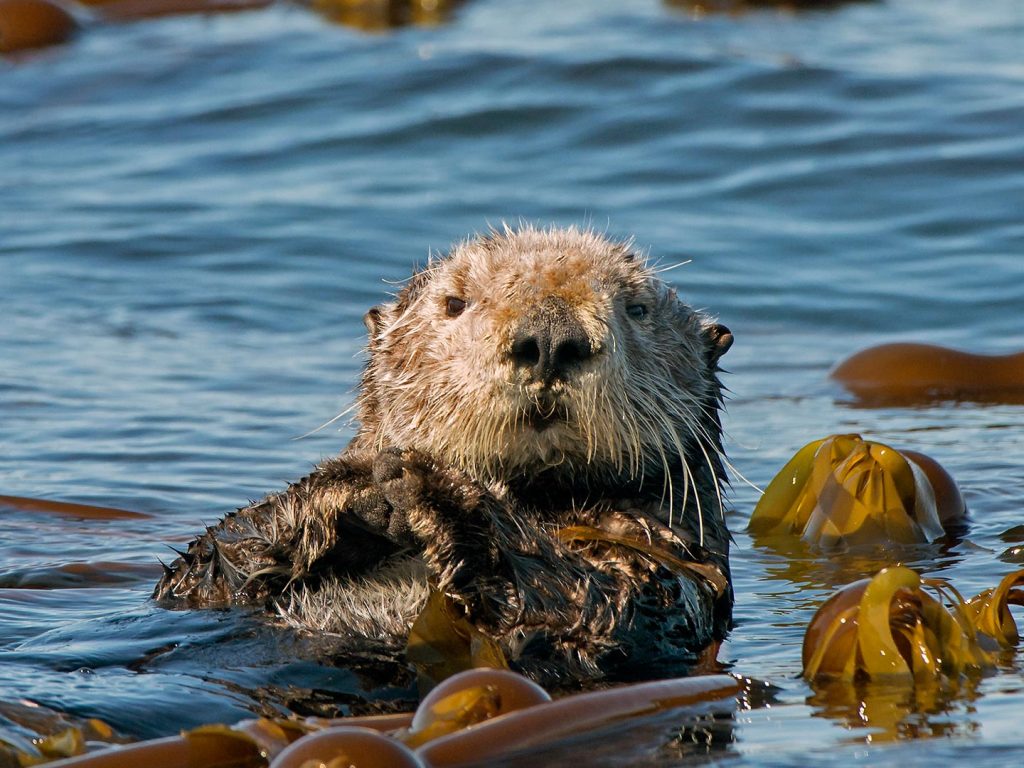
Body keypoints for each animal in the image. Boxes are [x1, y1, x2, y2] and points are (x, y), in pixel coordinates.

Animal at [154, 225, 734, 687]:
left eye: (637, 309)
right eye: (455, 302)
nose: (549, 337)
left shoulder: (665, 567)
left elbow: (589, 607)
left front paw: (426, 481)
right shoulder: (202, 593)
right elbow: (201, 570)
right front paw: (353, 486)